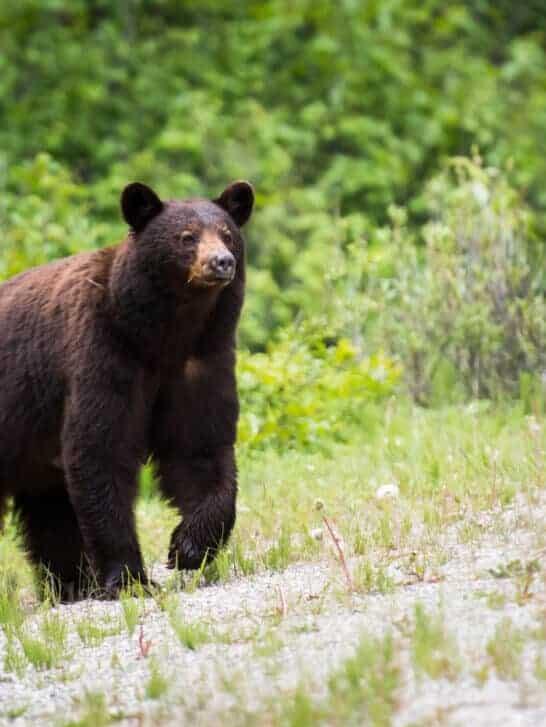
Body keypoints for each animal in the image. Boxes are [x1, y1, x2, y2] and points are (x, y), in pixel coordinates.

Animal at [0, 180, 254, 599]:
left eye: (228, 234)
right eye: (186, 237)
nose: (221, 262)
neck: (161, 335)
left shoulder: (200, 362)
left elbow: (200, 448)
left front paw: (187, 547)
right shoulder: (103, 354)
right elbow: (101, 450)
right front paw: (130, 578)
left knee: (50, 513)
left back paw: (73, 586)